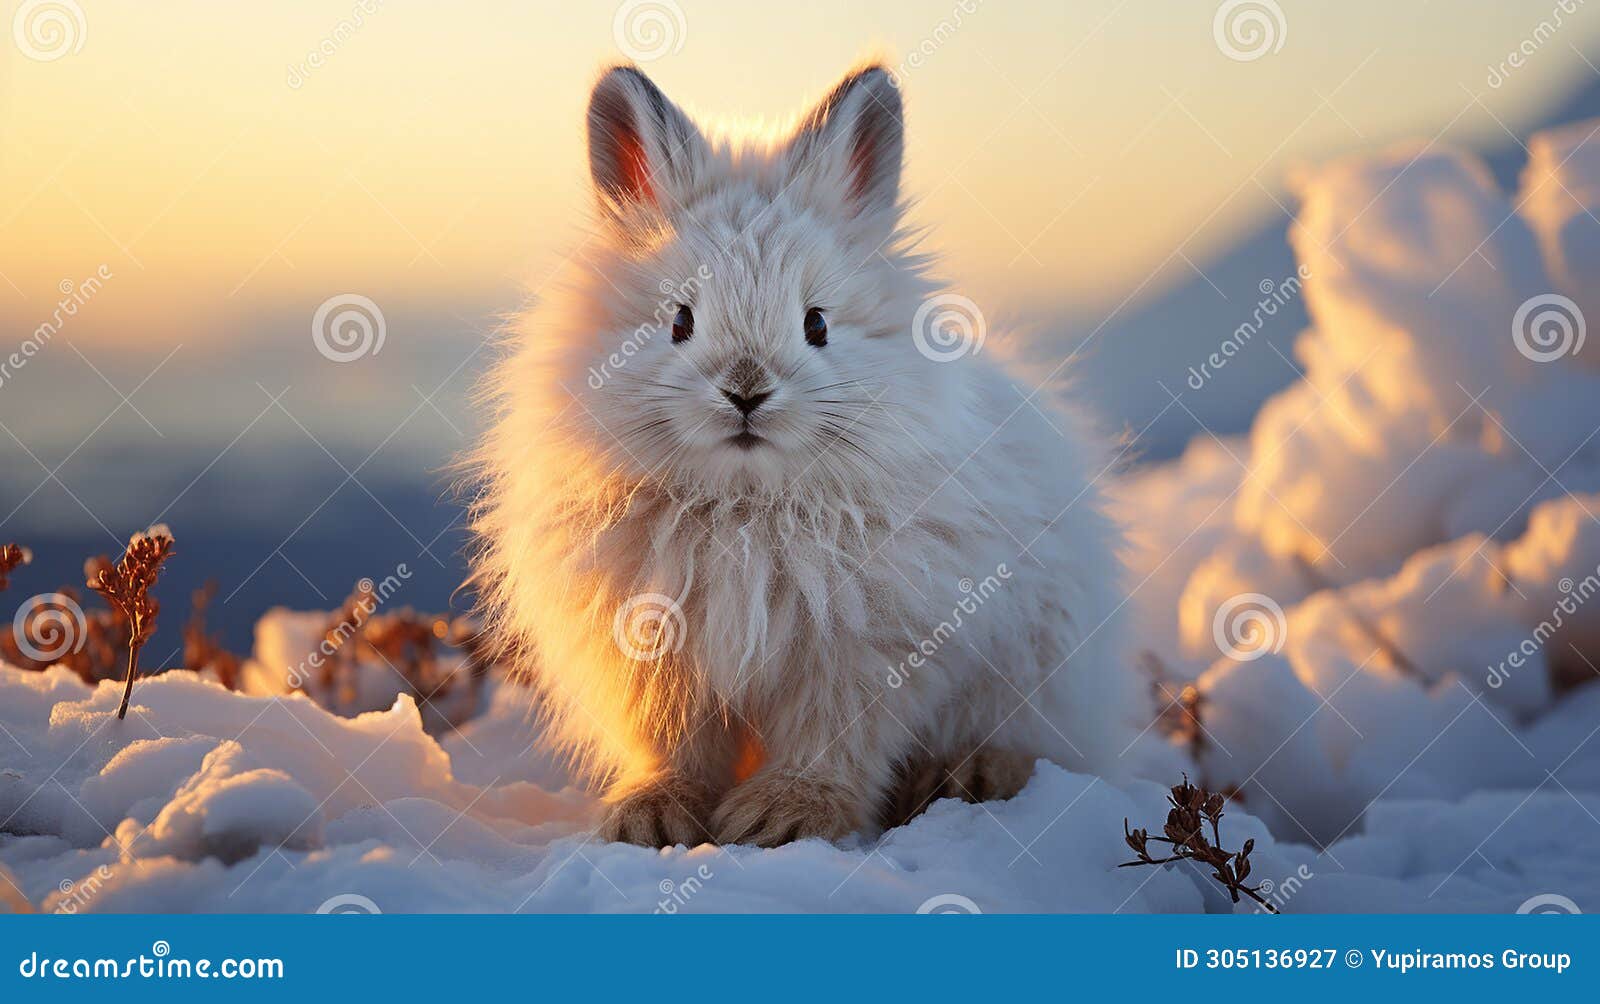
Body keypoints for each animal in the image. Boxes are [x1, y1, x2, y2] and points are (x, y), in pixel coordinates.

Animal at [465, 61, 1147, 847]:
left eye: (816, 323)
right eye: (679, 321)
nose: (746, 390)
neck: (745, 500)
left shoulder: (862, 655)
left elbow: (829, 741)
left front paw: (781, 819)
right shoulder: (654, 658)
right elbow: (672, 743)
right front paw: (652, 817)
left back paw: (968, 775)